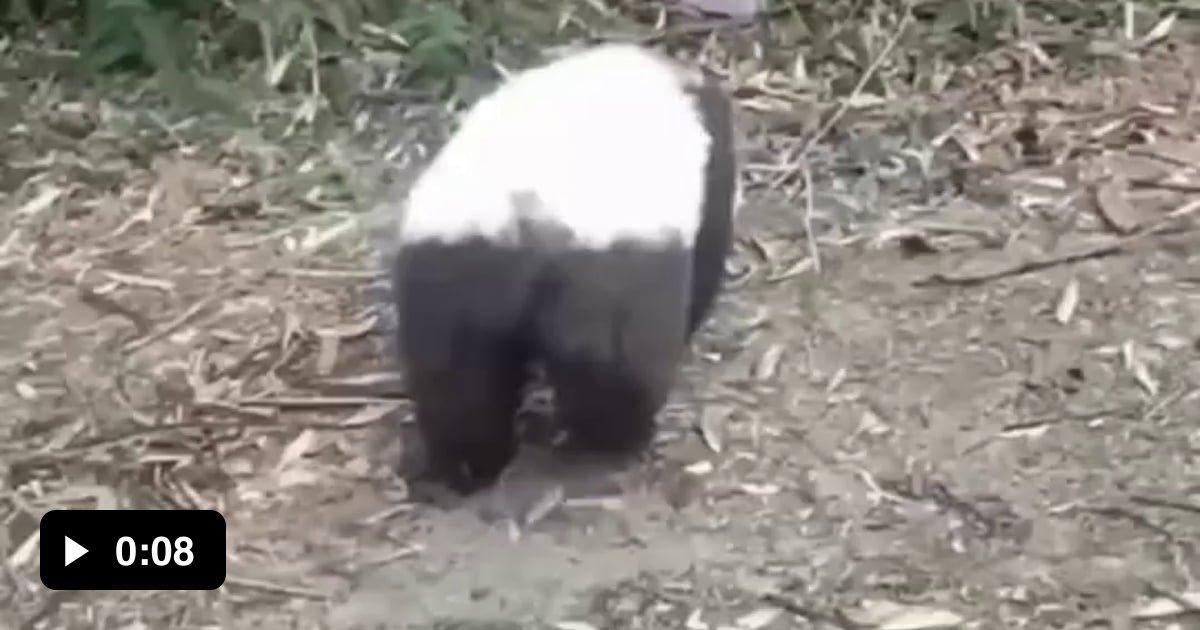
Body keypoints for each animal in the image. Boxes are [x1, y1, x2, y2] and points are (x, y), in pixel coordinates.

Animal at [388, 42, 741, 494]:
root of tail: (524, 221)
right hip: (606, 288)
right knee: (617, 372)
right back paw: (610, 441)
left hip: (448, 284)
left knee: (457, 381)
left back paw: (471, 464)